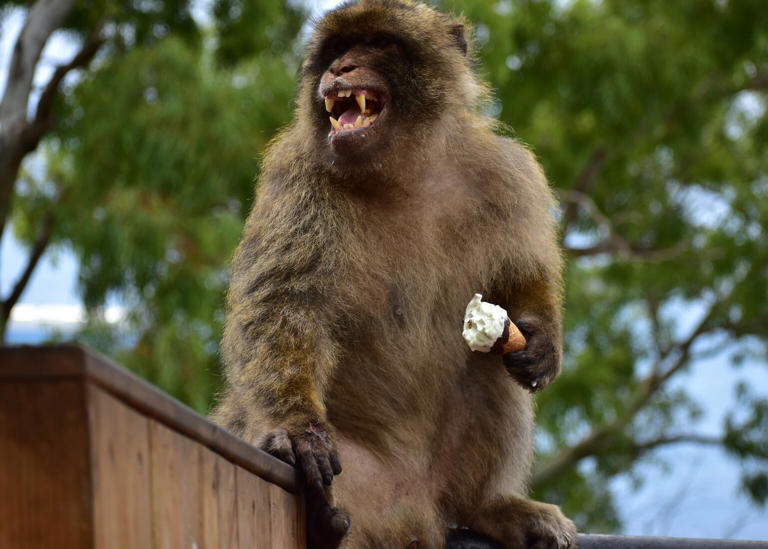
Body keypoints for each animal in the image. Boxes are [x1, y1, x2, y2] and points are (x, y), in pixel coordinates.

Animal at [211, 0, 577, 547]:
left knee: (489, 371)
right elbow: (281, 307)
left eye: (378, 43)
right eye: (338, 48)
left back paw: (490, 506)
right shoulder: (297, 180)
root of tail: (415, 507)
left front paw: (542, 338)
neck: (403, 171)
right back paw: (322, 520)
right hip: (357, 478)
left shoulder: (506, 173)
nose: (339, 68)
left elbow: (519, 276)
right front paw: (298, 429)